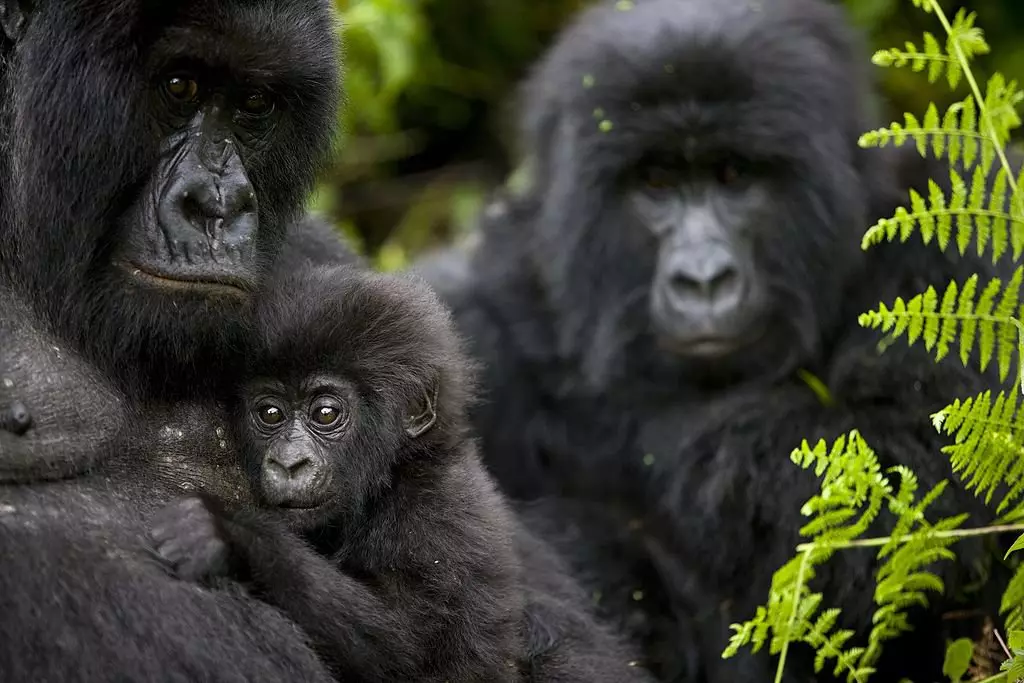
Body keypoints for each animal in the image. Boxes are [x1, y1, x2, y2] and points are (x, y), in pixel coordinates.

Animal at [149, 266, 651, 683]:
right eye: (269, 413)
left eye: (326, 413)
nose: (289, 462)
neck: (398, 470)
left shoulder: (430, 512)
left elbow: (407, 645)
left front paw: (232, 534)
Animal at [430, 0, 1007, 679]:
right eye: (655, 181)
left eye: (734, 175)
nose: (702, 279)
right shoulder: (473, 309)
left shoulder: (961, 237)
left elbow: (917, 469)